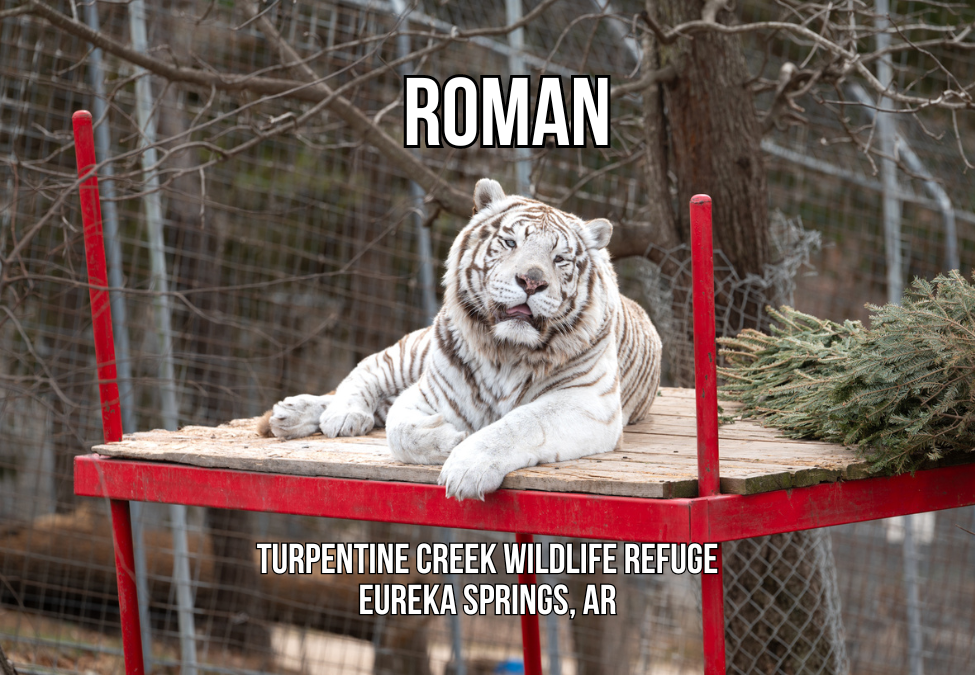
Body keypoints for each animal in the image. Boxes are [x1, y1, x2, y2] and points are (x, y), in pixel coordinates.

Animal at [259, 178, 662, 500]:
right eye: (509, 242)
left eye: (560, 258)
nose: (531, 281)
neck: (507, 352)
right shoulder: (427, 393)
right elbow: (398, 430)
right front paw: (450, 439)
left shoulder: (587, 403)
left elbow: (521, 423)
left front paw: (466, 464)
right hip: (410, 355)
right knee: (365, 373)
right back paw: (325, 414)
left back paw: (289, 416)